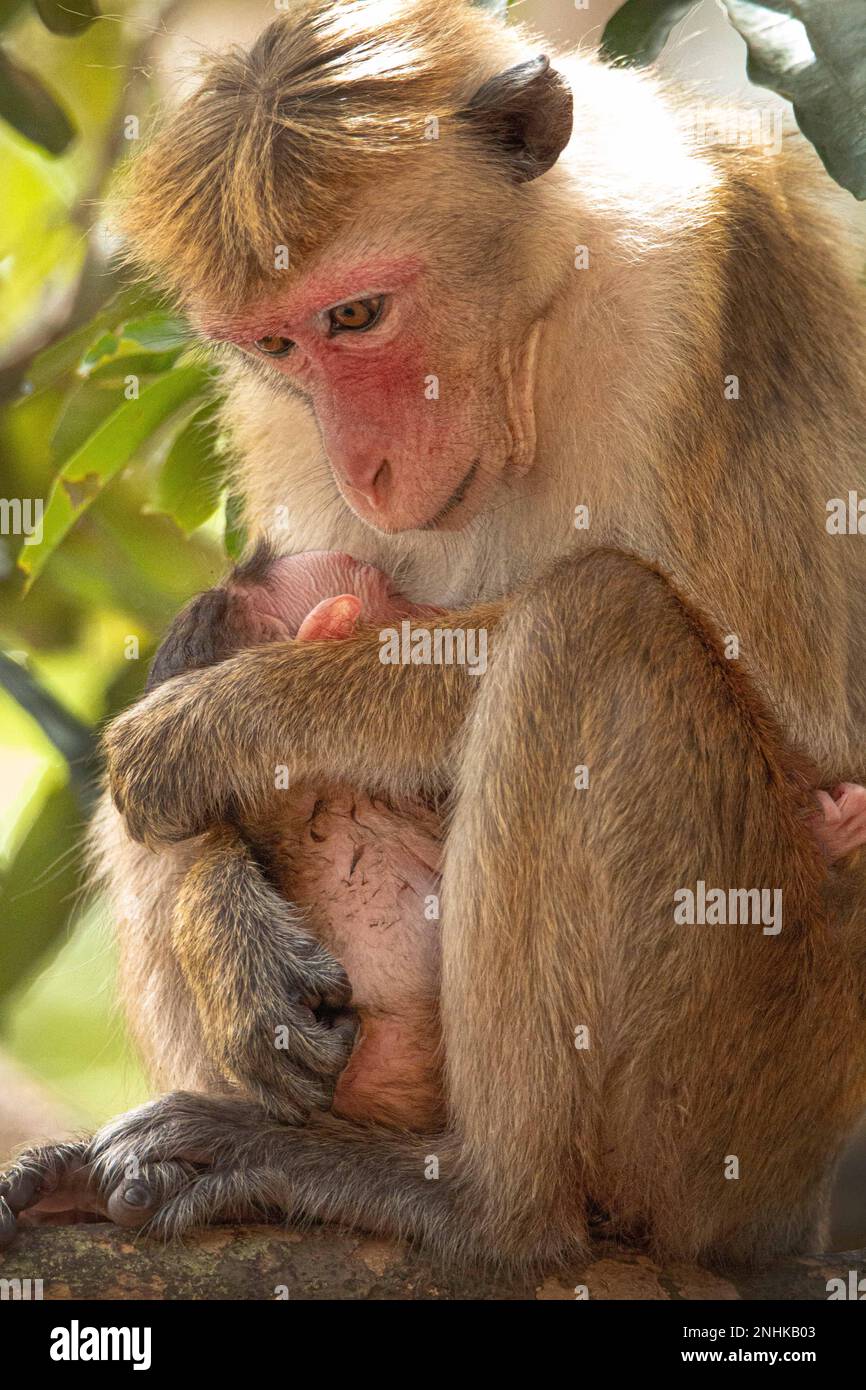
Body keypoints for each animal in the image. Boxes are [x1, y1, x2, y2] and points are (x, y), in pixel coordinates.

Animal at [4, 0, 866, 1270]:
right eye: (276, 347)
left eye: (356, 315)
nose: (362, 465)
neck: (542, 321)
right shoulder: (278, 422)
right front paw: (225, 922)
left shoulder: (720, 288)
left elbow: (816, 731)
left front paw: (236, 719)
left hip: (749, 1089)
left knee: (590, 621)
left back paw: (482, 1205)